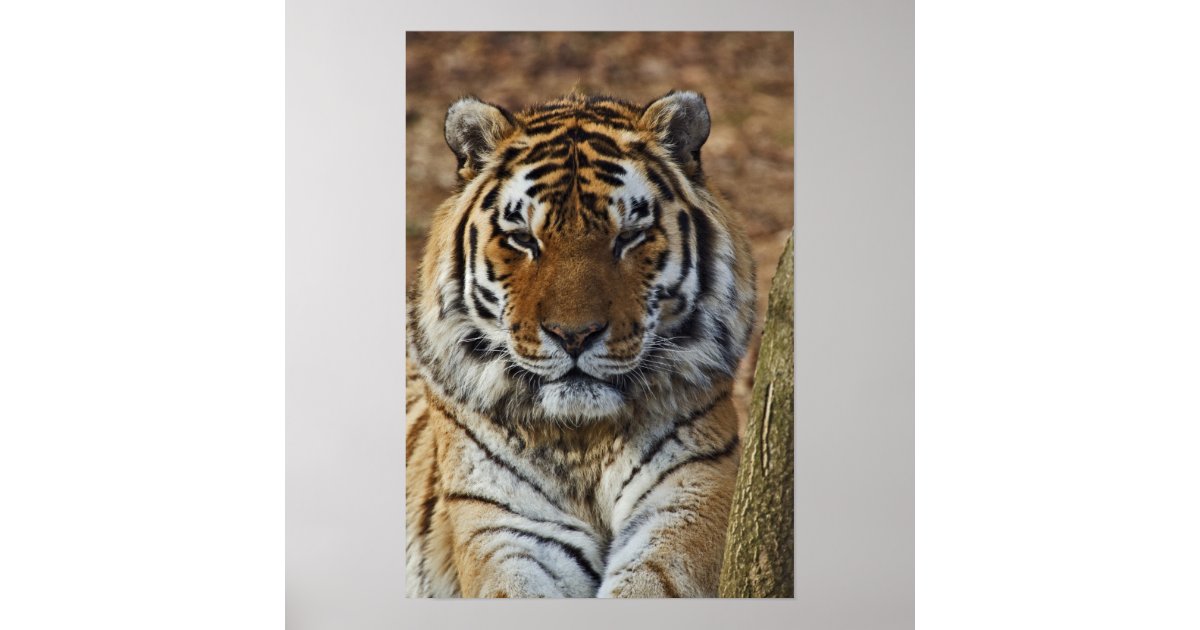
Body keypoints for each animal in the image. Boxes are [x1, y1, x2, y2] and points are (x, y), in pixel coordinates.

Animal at [406, 90, 757, 598]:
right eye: (523, 239)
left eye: (628, 236)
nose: (574, 335)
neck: (582, 441)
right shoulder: (507, 526)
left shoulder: (688, 498)